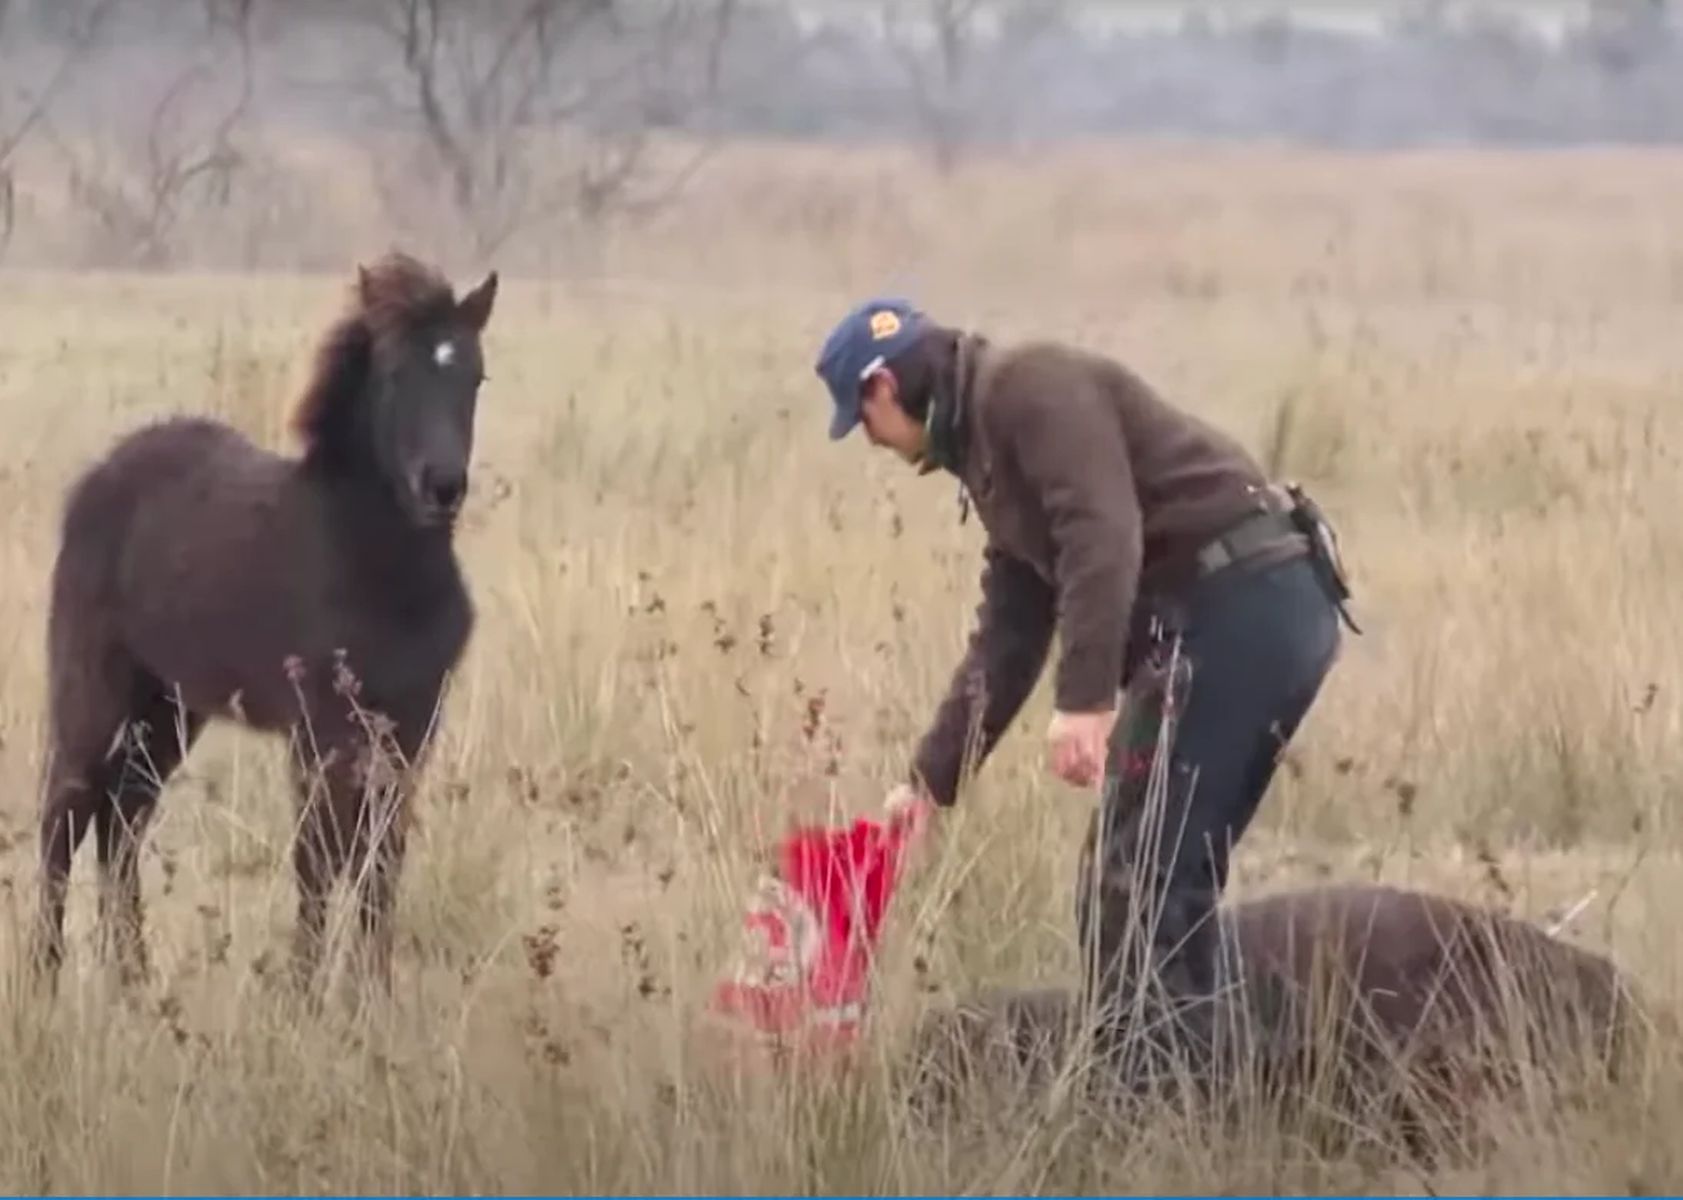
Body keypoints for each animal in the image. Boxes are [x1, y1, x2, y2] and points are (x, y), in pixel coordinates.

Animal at [31, 251, 499, 997]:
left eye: (475, 375)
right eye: (396, 372)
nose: (442, 487)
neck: (376, 564)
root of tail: (98, 476)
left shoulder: (408, 730)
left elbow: (381, 861)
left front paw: (373, 998)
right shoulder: (318, 732)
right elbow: (317, 858)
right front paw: (304, 996)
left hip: (168, 710)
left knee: (123, 821)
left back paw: (133, 981)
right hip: (94, 691)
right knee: (65, 813)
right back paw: (44, 979)